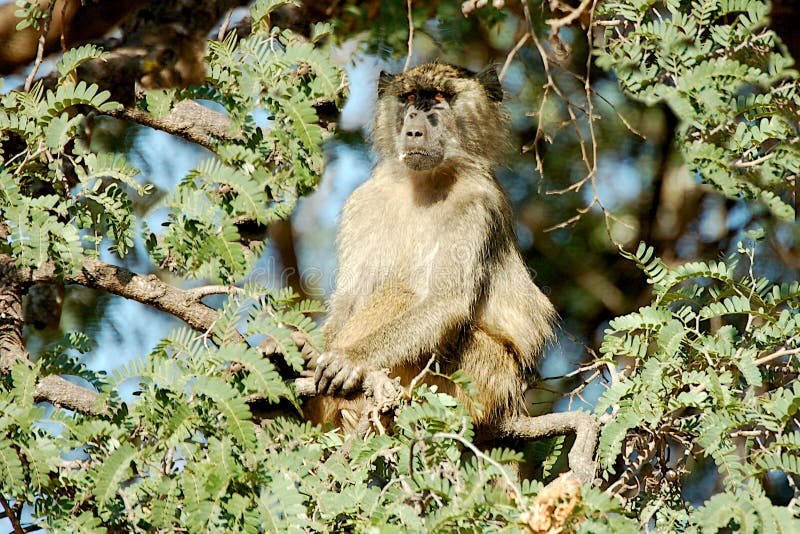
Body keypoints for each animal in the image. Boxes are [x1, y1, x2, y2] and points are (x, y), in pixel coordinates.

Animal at [306, 63, 556, 433]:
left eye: (438, 99)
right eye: (409, 98)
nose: (413, 129)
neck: (423, 185)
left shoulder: (475, 205)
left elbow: (445, 301)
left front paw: (351, 358)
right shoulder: (362, 202)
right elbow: (348, 300)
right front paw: (306, 352)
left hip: (483, 377)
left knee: (400, 293)